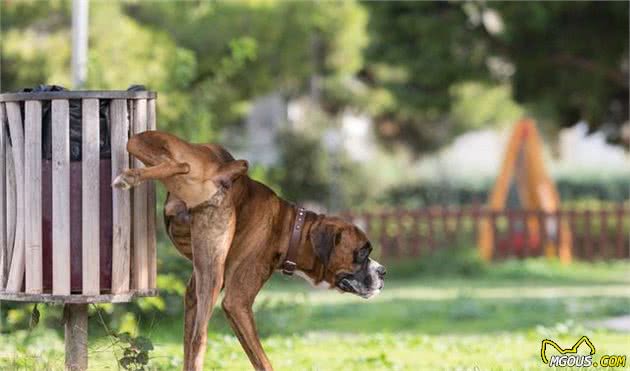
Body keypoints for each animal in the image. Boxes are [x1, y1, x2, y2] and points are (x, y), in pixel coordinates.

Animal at [115, 132, 388, 371]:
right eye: (362, 253)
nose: (383, 271)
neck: (290, 228)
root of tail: (221, 170)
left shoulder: (193, 294)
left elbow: (186, 350)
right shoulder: (237, 303)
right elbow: (262, 361)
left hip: (145, 143)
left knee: (173, 161)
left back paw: (132, 176)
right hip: (213, 277)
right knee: (199, 339)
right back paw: (128, 178)